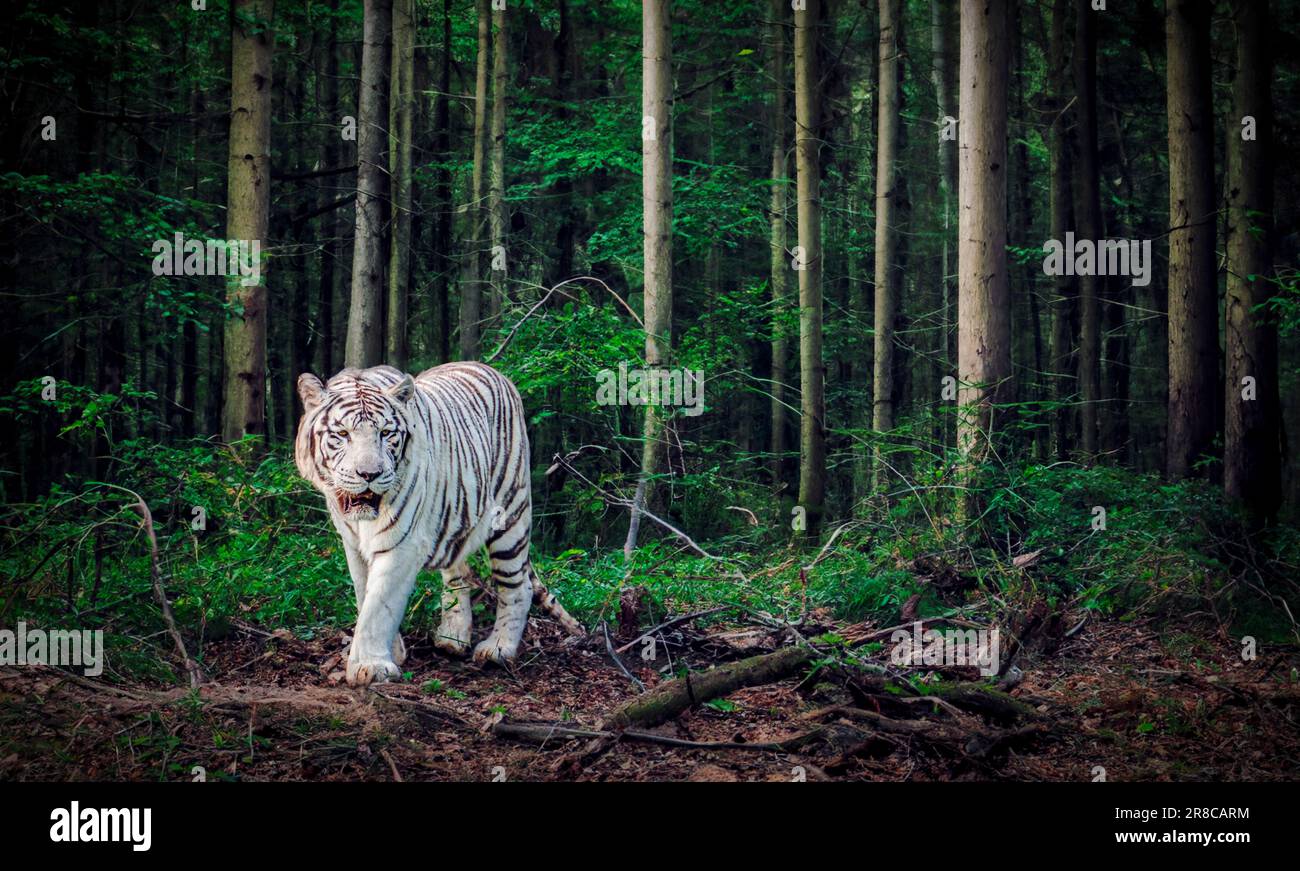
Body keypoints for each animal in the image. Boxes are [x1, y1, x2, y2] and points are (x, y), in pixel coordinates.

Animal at [294, 362, 584, 686]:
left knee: (518, 585)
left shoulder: (402, 543)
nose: (370, 474)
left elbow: (378, 605)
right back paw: (452, 637)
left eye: (385, 433)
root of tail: (493, 371)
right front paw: (393, 652)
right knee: (460, 573)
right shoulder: (352, 543)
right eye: (342, 434)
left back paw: (498, 649)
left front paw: (371, 666)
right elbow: (364, 593)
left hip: (510, 513)